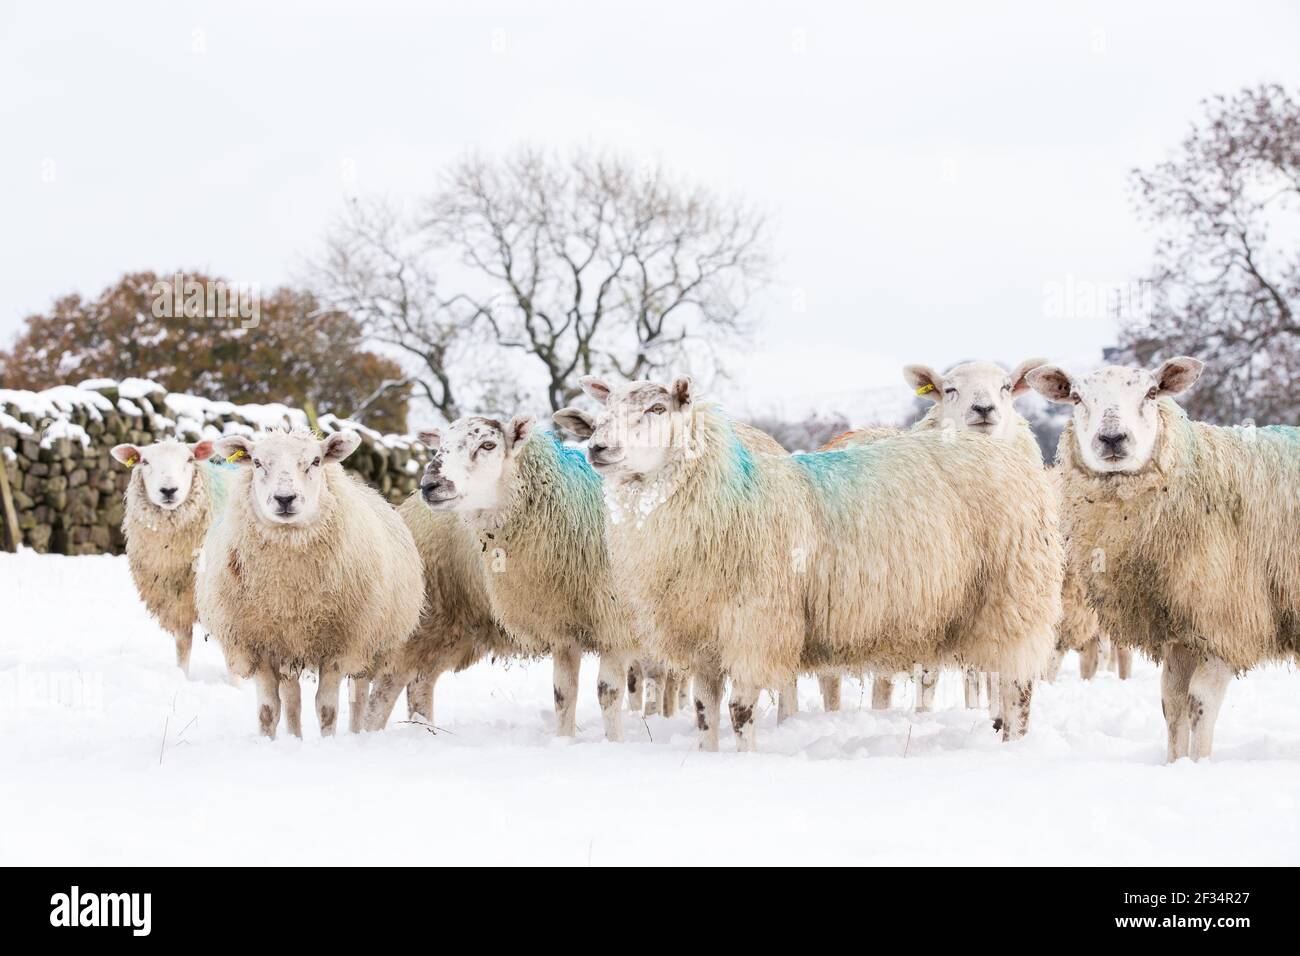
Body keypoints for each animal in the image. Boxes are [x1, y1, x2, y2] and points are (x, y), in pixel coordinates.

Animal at [110, 438, 221, 676]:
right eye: (144, 461)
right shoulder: (177, 602)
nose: (168, 490)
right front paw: (181, 677)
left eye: (189, 459)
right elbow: (183, 647)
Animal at [196, 429, 423, 738]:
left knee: (359, 695)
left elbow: (327, 709)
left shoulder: (339, 644)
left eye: (316, 461)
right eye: (256, 462)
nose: (284, 498)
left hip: (371, 641)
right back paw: (295, 737)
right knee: (292, 699)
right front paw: (269, 741)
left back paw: (356, 734)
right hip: (289, 645)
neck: (290, 588)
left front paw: (328, 741)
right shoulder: (261, 643)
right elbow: (269, 710)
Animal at [417, 415, 639, 741]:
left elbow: (607, 694)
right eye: (440, 445)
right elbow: (563, 694)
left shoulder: (616, 624)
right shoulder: (562, 629)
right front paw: (564, 741)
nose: (430, 485)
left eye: (488, 445)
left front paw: (614, 743)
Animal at [561, 374, 1062, 752]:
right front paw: (707, 757)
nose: (597, 448)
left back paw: (1013, 748)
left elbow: (740, 711)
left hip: (1014, 598)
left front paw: (743, 760)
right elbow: (705, 713)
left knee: (1018, 688)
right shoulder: (703, 635)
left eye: (657, 409)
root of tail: (1008, 451)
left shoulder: (756, 627)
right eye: (604, 412)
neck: (728, 497)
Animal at [1028, 356, 1300, 762]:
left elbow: (1200, 703)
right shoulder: (1176, 628)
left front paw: (1199, 763)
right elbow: (1171, 703)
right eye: (1076, 397)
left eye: (1152, 392)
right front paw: (1174, 763)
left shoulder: (1224, 618)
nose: (1112, 439)